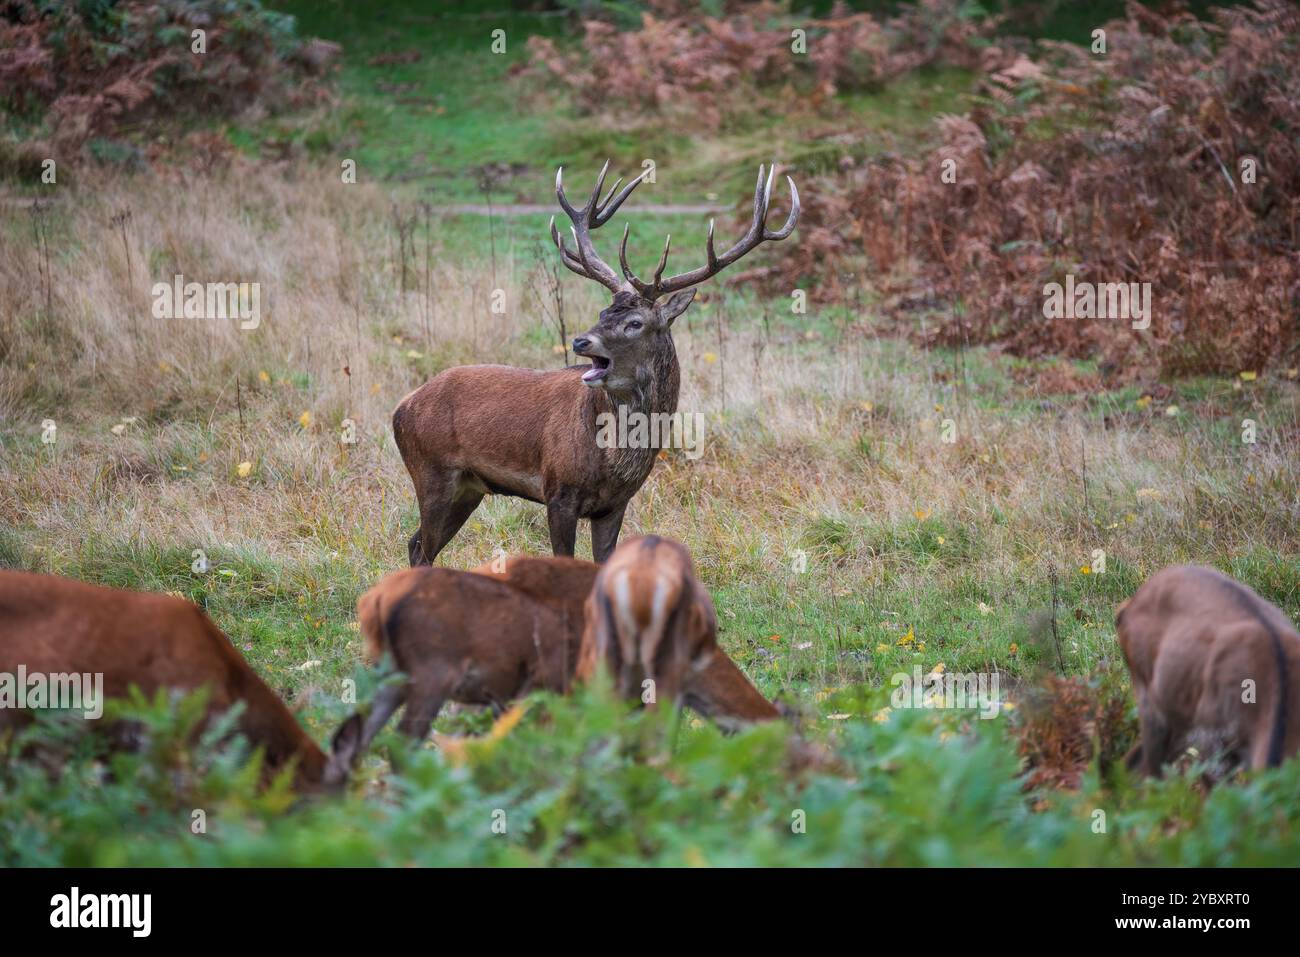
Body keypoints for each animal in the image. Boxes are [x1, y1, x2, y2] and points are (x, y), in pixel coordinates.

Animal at [393, 160, 800, 566]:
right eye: (603, 312)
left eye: (634, 323)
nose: (580, 341)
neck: (612, 462)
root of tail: (401, 408)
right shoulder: (558, 491)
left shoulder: (615, 505)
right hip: (432, 472)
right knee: (420, 546)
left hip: (468, 489)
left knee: (416, 544)